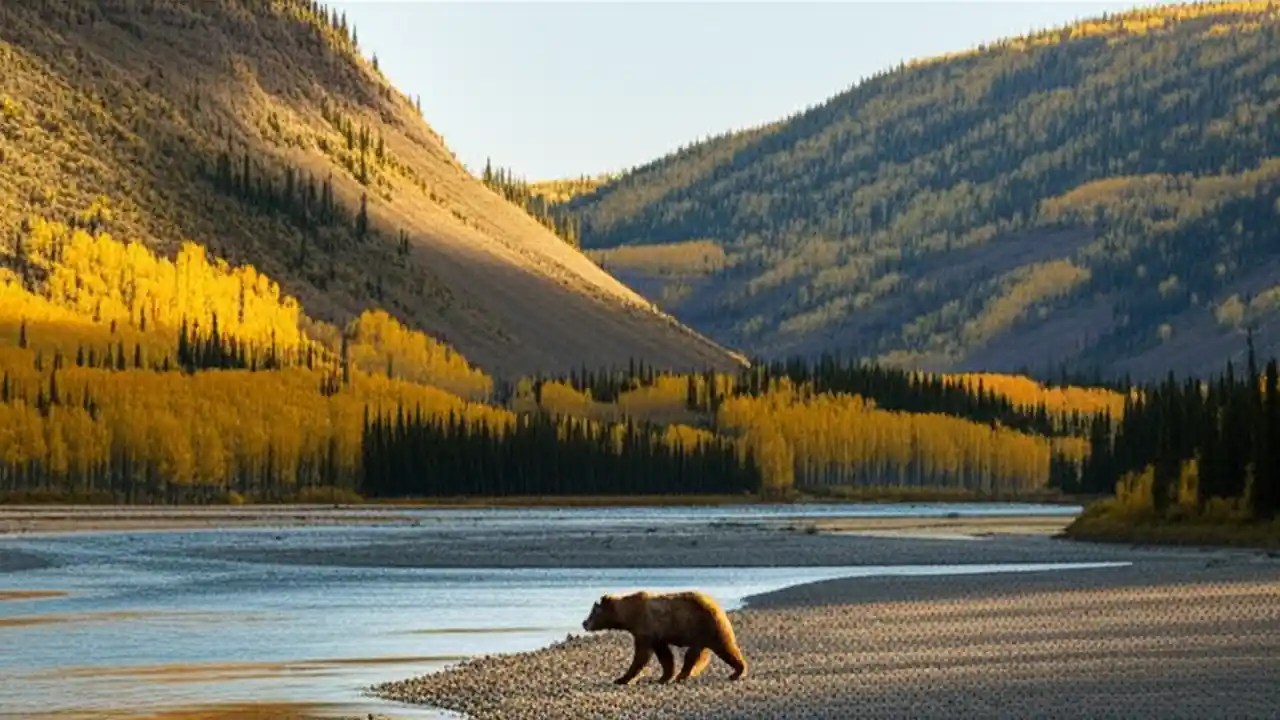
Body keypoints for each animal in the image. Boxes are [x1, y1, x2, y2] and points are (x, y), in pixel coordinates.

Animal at [581, 590, 747, 685]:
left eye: (593, 612)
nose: (584, 623)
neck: (629, 615)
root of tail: (717, 606)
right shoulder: (657, 635)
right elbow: (664, 655)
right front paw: (663, 677)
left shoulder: (645, 628)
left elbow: (642, 655)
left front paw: (622, 679)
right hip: (702, 633)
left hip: (704, 626)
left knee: (723, 648)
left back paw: (737, 672)